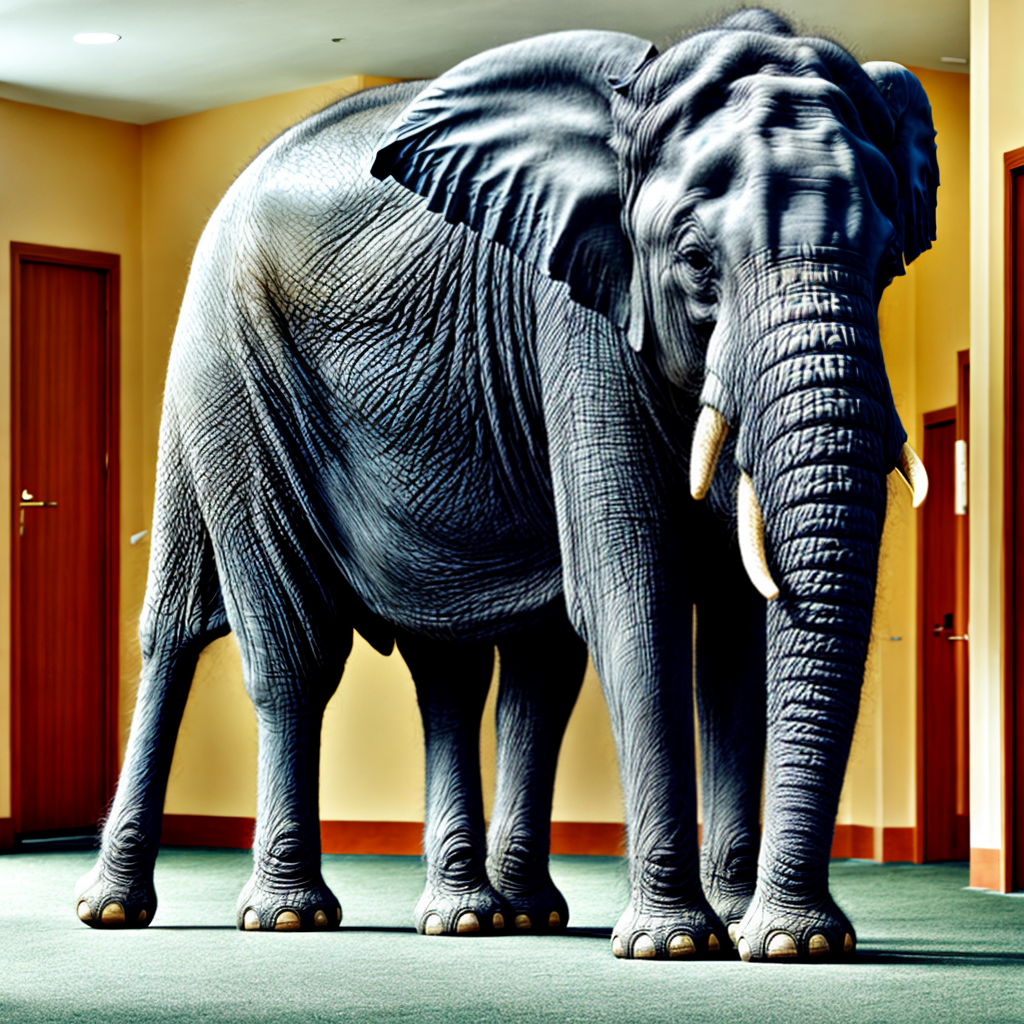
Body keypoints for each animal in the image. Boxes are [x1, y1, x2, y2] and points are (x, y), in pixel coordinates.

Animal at [75, 7, 936, 963]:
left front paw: (773, 938)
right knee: (250, 641)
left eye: (889, 260)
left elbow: (736, 622)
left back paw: (490, 916)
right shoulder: (578, 319)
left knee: (481, 664)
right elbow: (634, 589)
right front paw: (681, 944)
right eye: (695, 261)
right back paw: (236, 914)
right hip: (227, 373)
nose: (800, 933)